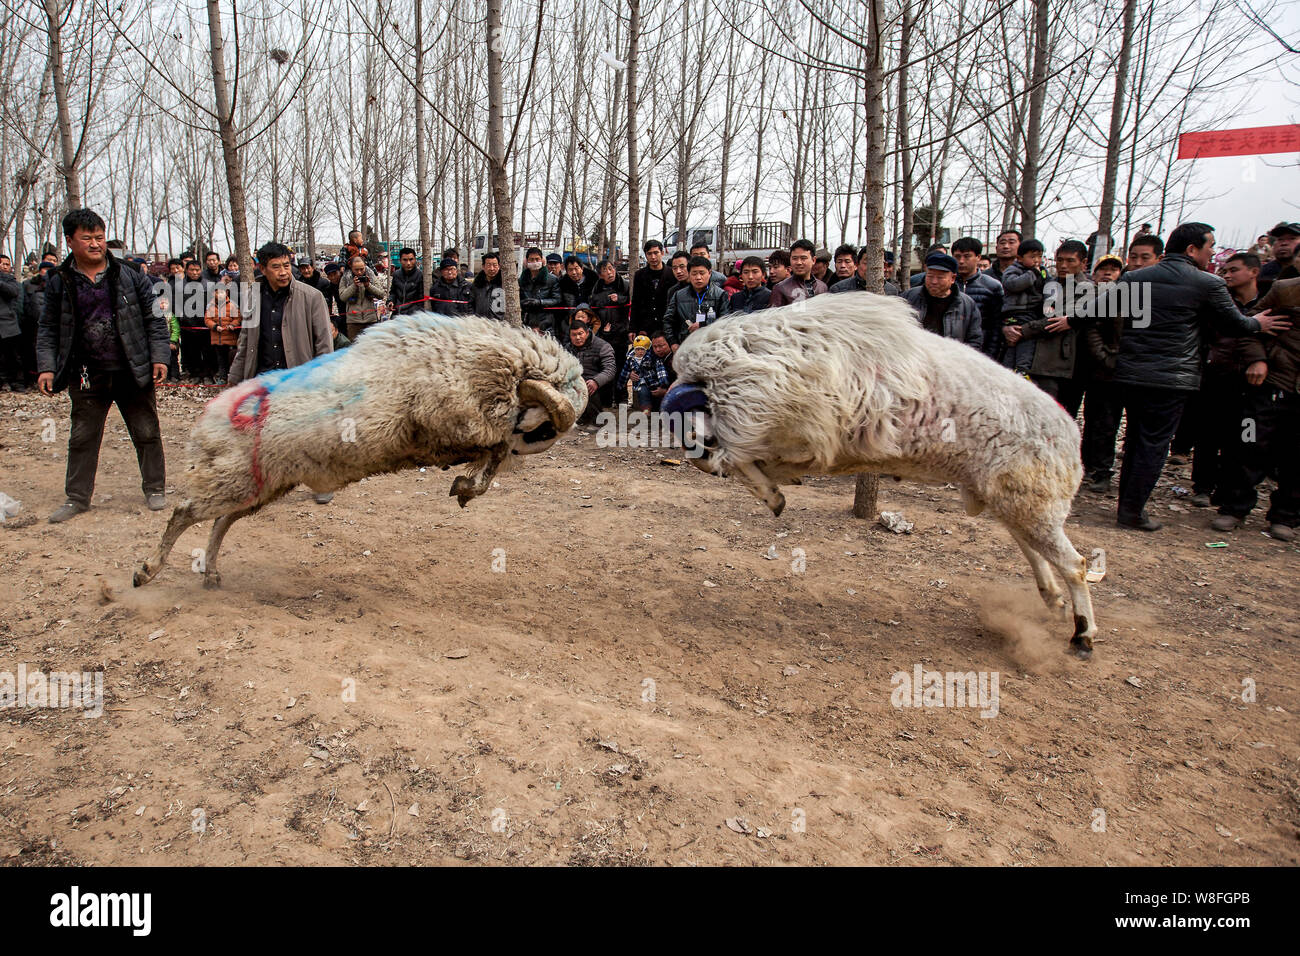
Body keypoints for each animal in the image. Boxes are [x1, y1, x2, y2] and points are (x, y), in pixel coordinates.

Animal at [133, 313, 587, 589]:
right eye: (544, 427)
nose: (519, 452)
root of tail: (210, 415)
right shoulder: (452, 423)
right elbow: (489, 456)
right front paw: (465, 486)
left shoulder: (466, 437)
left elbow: (488, 464)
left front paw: (464, 487)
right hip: (233, 478)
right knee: (184, 513)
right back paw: (146, 571)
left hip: (261, 487)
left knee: (220, 522)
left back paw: (209, 573)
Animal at [663, 291, 1098, 658]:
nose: (696, 442)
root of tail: (1071, 434)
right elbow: (741, 464)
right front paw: (775, 491)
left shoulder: (796, 430)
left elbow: (735, 462)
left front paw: (772, 494)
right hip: (1011, 500)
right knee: (1035, 550)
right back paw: (1054, 600)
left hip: (1032, 500)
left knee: (1074, 563)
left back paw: (1083, 635)